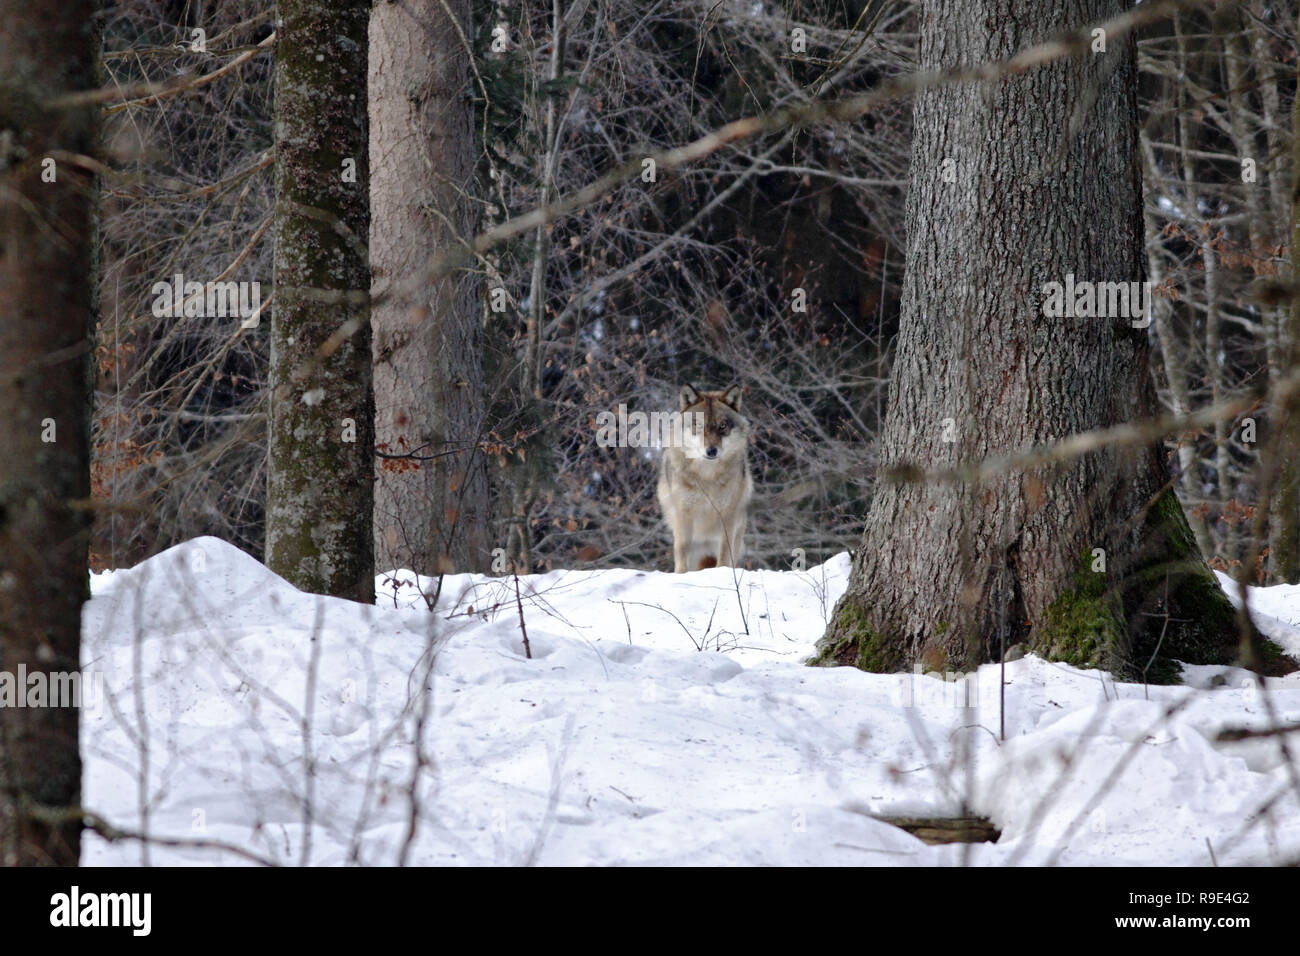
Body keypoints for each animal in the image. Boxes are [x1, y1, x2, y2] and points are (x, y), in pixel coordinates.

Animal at [656, 383, 753, 573]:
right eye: (699, 426)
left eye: (722, 426)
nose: (711, 451)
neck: (707, 476)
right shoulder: (683, 514)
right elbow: (681, 550)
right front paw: (681, 574)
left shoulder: (728, 515)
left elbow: (725, 551)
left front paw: (722, 571)